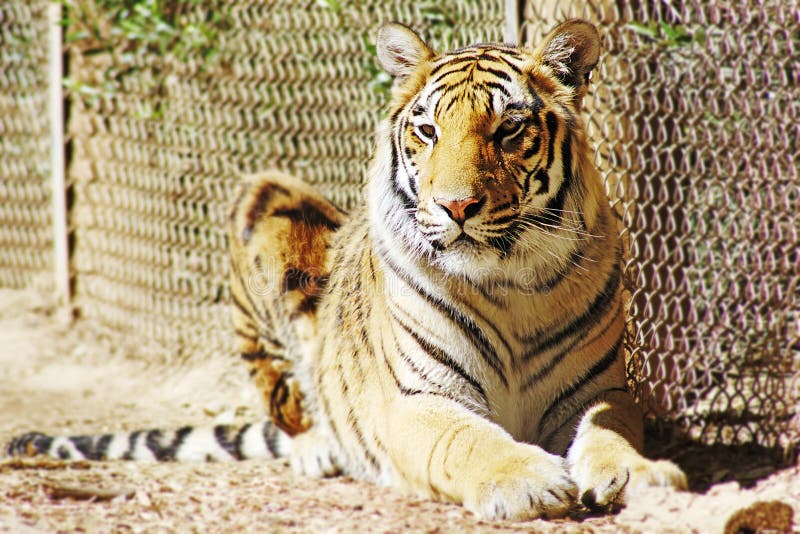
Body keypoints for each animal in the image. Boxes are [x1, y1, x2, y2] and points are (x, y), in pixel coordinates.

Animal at [7, 20, 687, 520]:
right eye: (427, 130)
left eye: (509, 129)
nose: (456, 206)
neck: (510, 281)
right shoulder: (416, 399)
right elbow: (468, 440)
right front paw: (528, 481)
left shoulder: (601, 390)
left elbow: (609, 431)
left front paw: (641, 474)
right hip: (266, 198)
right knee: (284, 396)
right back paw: (316, 449)